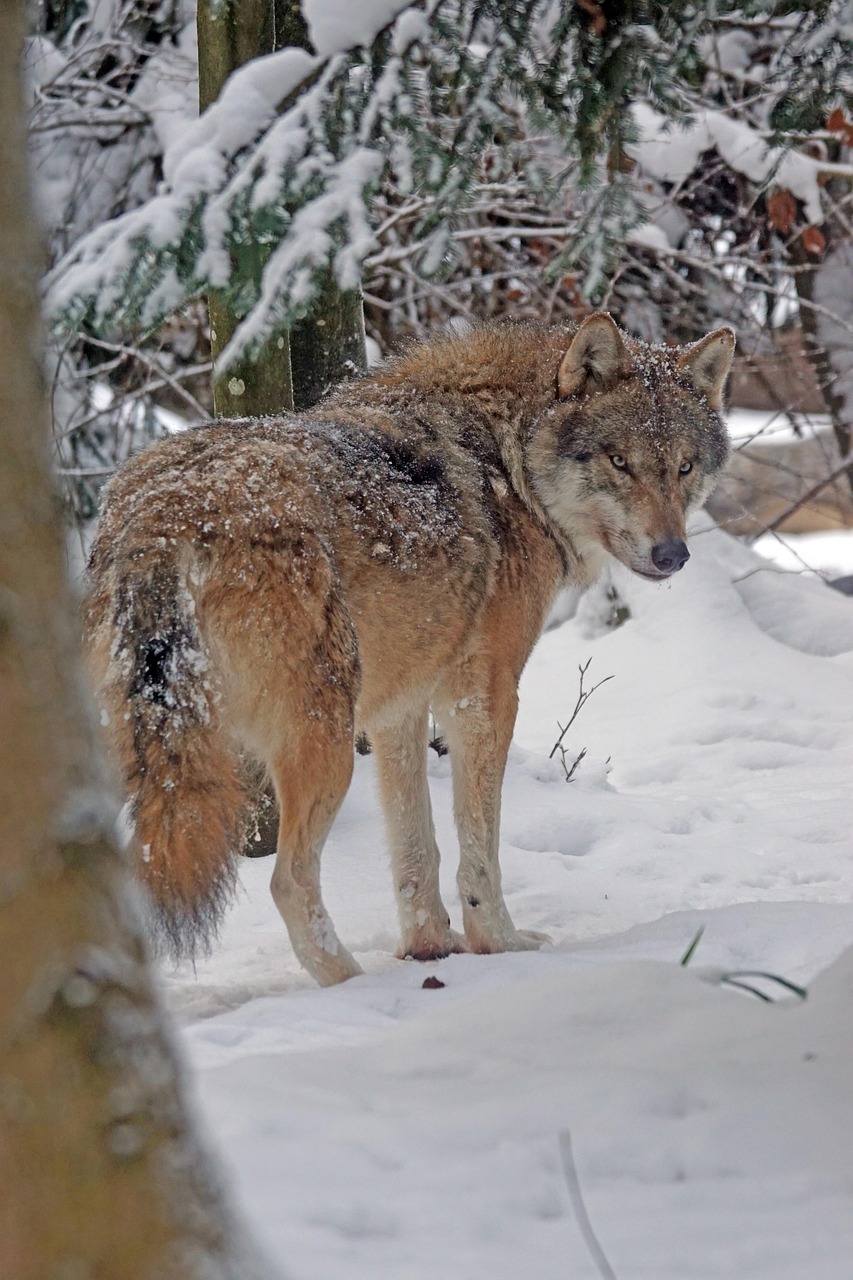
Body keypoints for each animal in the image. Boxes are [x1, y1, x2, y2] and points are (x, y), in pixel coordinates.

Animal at [85, 313, 734, 986]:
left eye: (684, 467)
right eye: (619, 462)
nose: (672, 555)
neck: (510, 462)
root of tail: (163, 517)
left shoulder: (399, 709)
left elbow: (416, 849)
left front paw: (429, 947)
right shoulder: (483, 699)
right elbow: (478, 850)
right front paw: (499, 944)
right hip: (323, 746)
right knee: (289, 882)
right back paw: (350, 983)